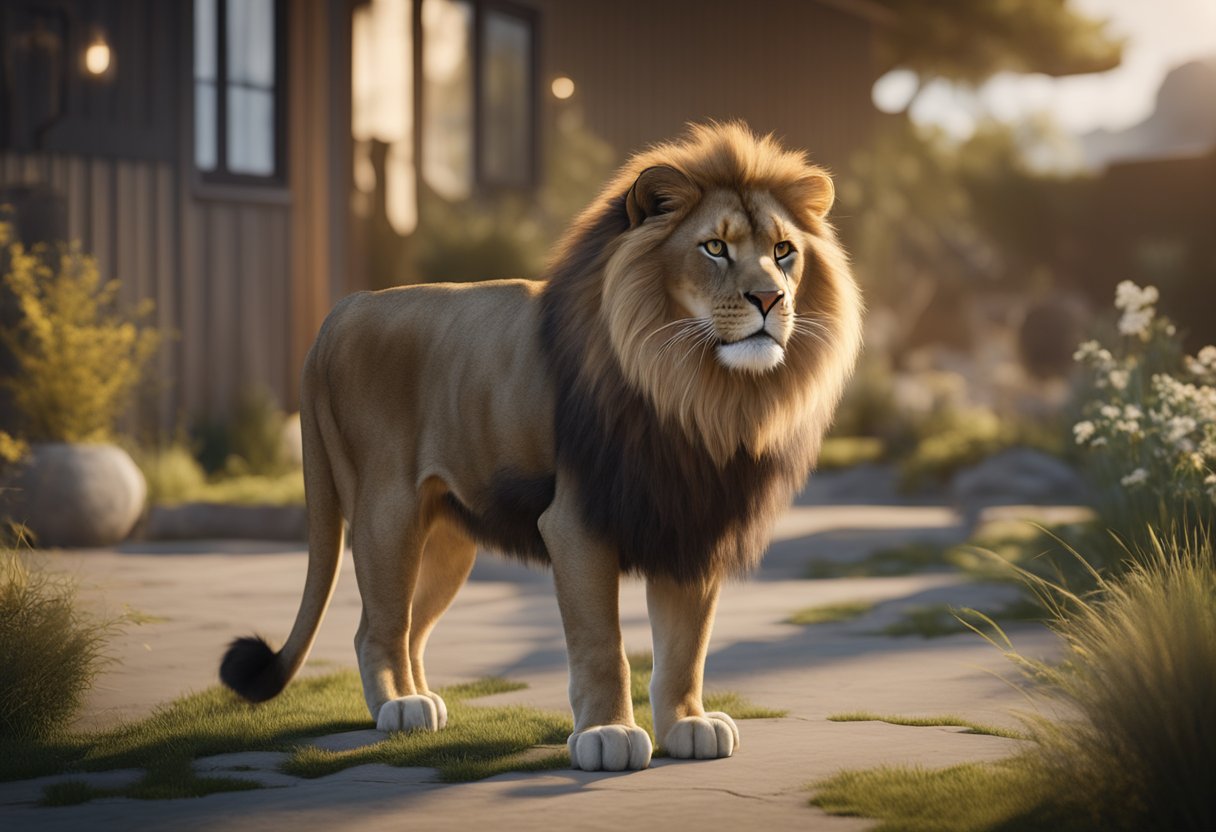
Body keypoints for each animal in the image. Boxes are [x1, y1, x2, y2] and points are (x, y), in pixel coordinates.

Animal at [220, 122, 863, 771]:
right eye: (714, 248)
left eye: (783, 251)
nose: (771, 300)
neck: (696, 390)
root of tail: (342, 312)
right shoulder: (575, 524)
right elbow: (603, 642)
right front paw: (608, 734)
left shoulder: (689, 519)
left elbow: (687, 645)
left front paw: (688, 724)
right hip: (386, 512)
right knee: (378, 627)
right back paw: (400, 708)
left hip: (447, 538)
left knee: (405, 625)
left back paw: (420, 698)